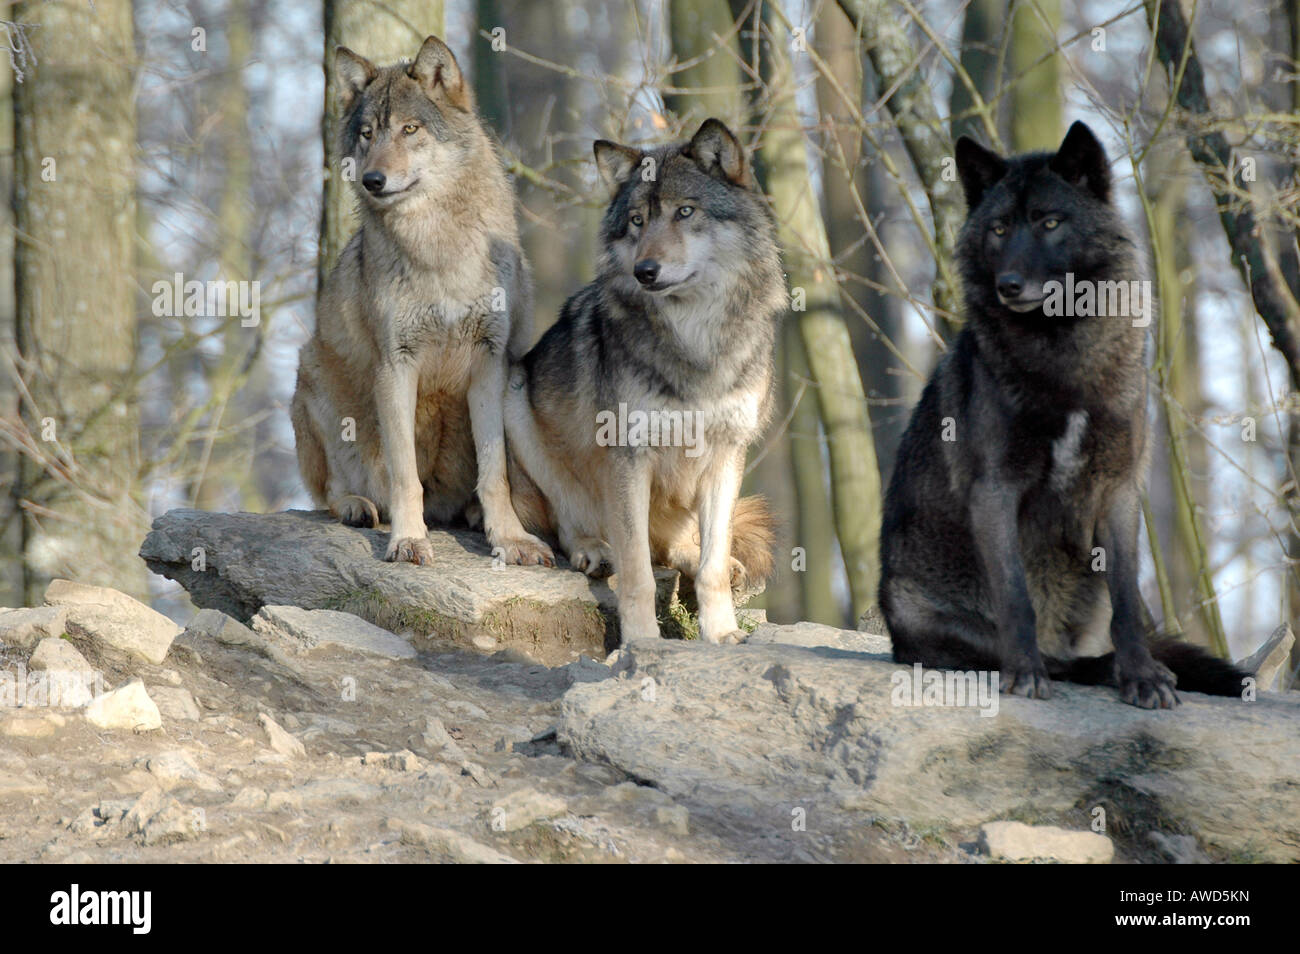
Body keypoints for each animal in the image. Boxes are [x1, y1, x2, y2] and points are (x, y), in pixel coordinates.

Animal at [291, 36, 553, 568]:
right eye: (367, 134)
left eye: (409, 129)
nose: (372, 180)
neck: (439, 248)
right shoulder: (396, 366)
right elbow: (403, 476)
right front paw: (408, 540)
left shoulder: (491, 363)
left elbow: (495, 475)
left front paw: (509, 539)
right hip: (314, 374)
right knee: (329, 491)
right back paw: (357, 506)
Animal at [504, 119, 780, 644]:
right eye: (636, 220)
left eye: (684, 212)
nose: (644, 271)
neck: (695, 339)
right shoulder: (628, 454)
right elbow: (636, 572)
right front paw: (642, 642)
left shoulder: (727, 451)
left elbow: (710, 566)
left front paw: (722, 634)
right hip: (512, 397)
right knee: (571, 522)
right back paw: (593, 548)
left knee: (680, 547)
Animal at [879, 121, 1247, 708]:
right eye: (1000, 228)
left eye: (1049, 222)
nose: (1009, 285)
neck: (1062, 356)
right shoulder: (995, 489)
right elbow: (1016, 600)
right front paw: (1026, 673)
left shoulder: (1118, 487)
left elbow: (1127, 601)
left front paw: (1142, 676)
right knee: (1054, 661)